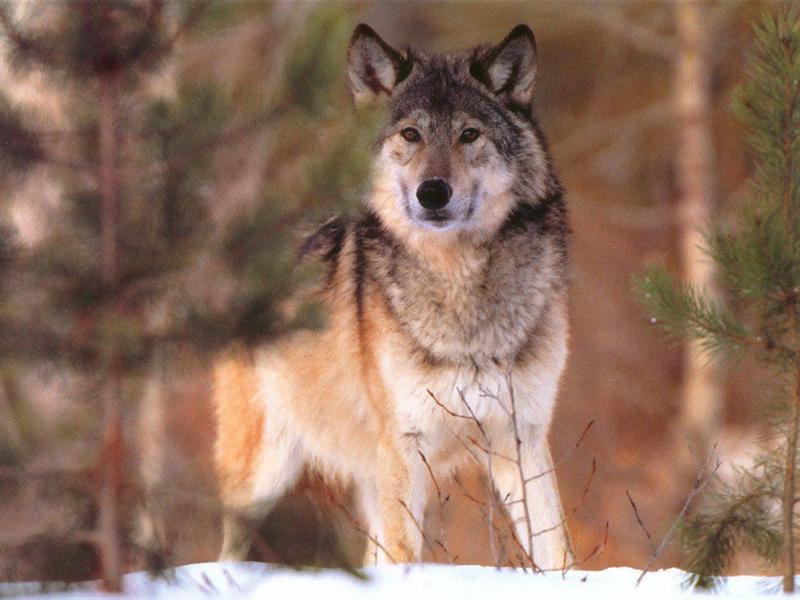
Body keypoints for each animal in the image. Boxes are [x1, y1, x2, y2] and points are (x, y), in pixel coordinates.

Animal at [213, 23, 571, 568]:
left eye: (469, 134)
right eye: (411, 135)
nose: (433, 192)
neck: (458, 284)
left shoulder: (523, 435)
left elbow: (558, 550)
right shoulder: (407, 442)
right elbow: (408, 552)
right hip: (262, 474)